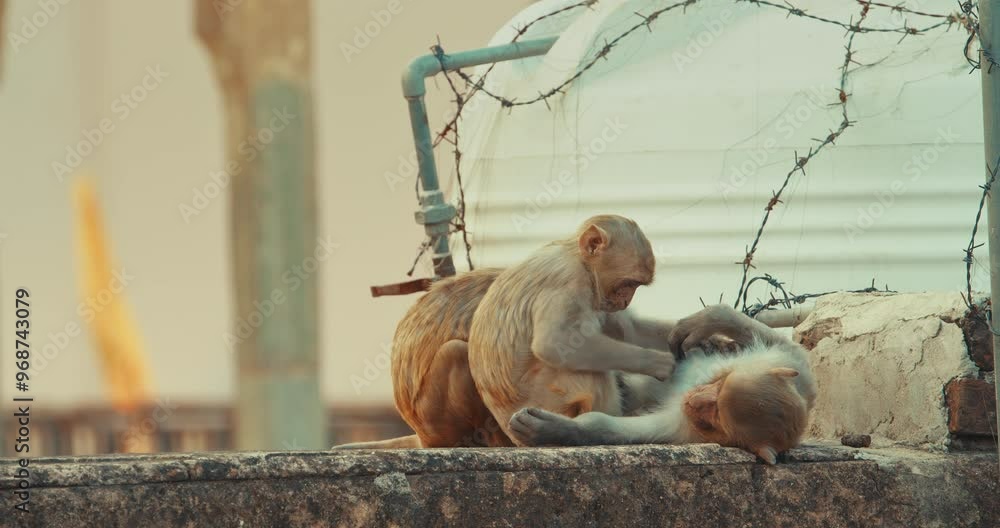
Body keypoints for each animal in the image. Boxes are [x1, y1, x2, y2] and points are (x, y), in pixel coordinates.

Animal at [467, 214, 678, 446]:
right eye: (629, 284)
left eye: (636, 285)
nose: (625, 301)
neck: (579, 259)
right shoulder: (568, 282)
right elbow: (553, 343)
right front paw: (658, 363)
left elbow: (629, 331)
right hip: (550, 398)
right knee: (589, 371)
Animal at [506, 304, 817, 464]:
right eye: (718, 385)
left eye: (712, 418)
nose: (692, 400)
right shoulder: (791, 367)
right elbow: (786, 347)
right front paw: (709, 321)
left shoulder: (686, 428)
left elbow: (623, 428)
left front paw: (554, 430)